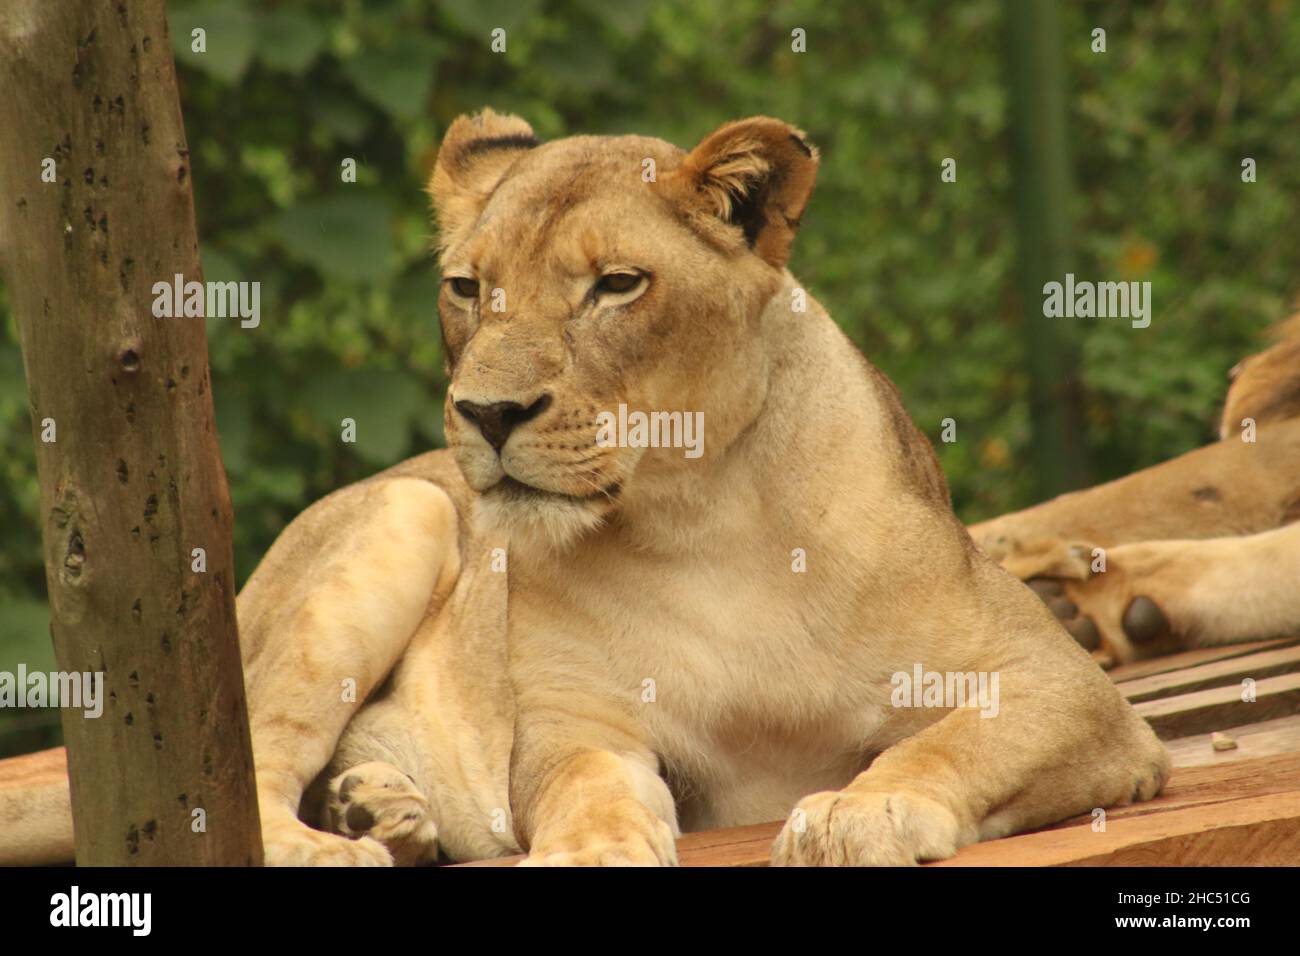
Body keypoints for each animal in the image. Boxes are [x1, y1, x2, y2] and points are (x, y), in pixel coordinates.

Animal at [0, 110, 1169, 867]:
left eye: (616, 285)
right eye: (467, 287)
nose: (488, 413)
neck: (699, 518)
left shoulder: (1067, 686)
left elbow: (953, 738)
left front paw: (856, 814)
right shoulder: (578, 720)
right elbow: (586, 786)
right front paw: (586, 849)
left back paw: (381, 809)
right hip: (406, 512)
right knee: (247, 780)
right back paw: (343, 838)